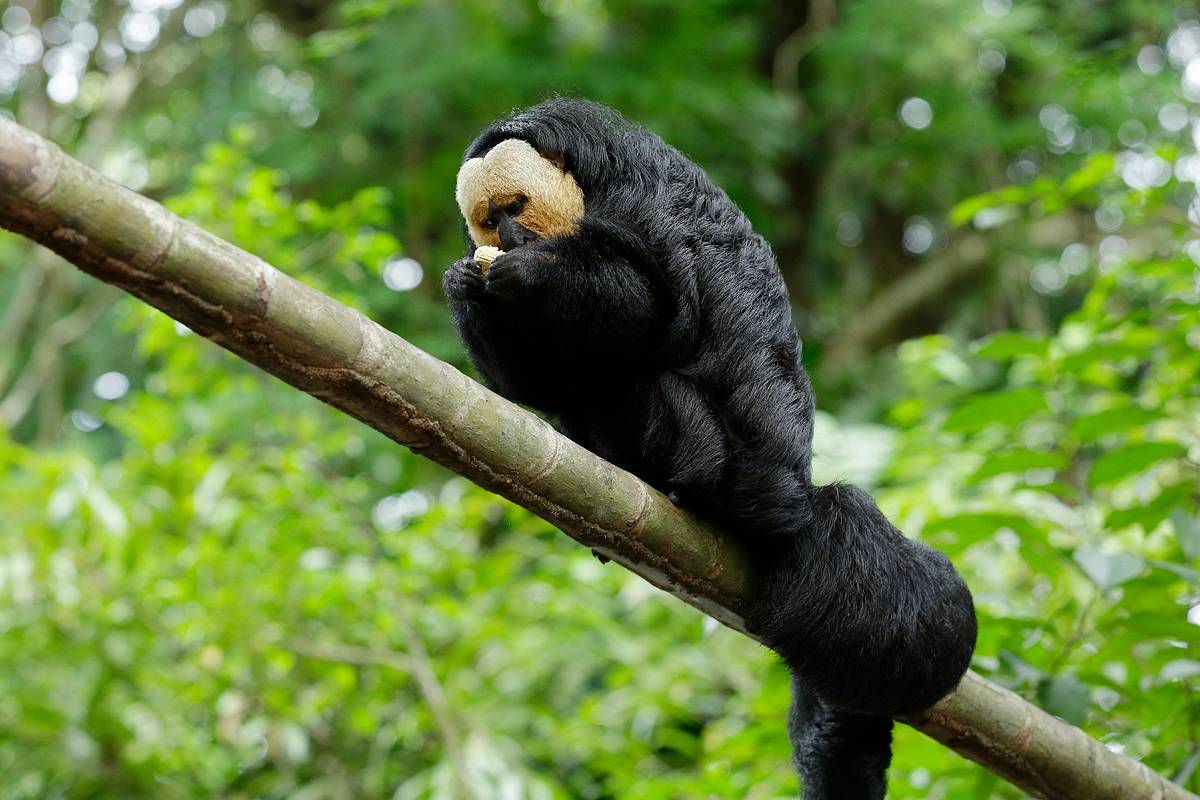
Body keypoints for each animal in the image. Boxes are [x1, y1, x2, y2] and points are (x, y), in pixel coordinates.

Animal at [442, 98, 977, 799]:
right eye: (487, 217)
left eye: (516, 204)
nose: (504, 233)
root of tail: (788, 508)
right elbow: (534, 381)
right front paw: (464, 282)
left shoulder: (636, 201)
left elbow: (645, 309)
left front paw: (527, 272)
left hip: (705, 449)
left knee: (646, 381)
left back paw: (675, 485)